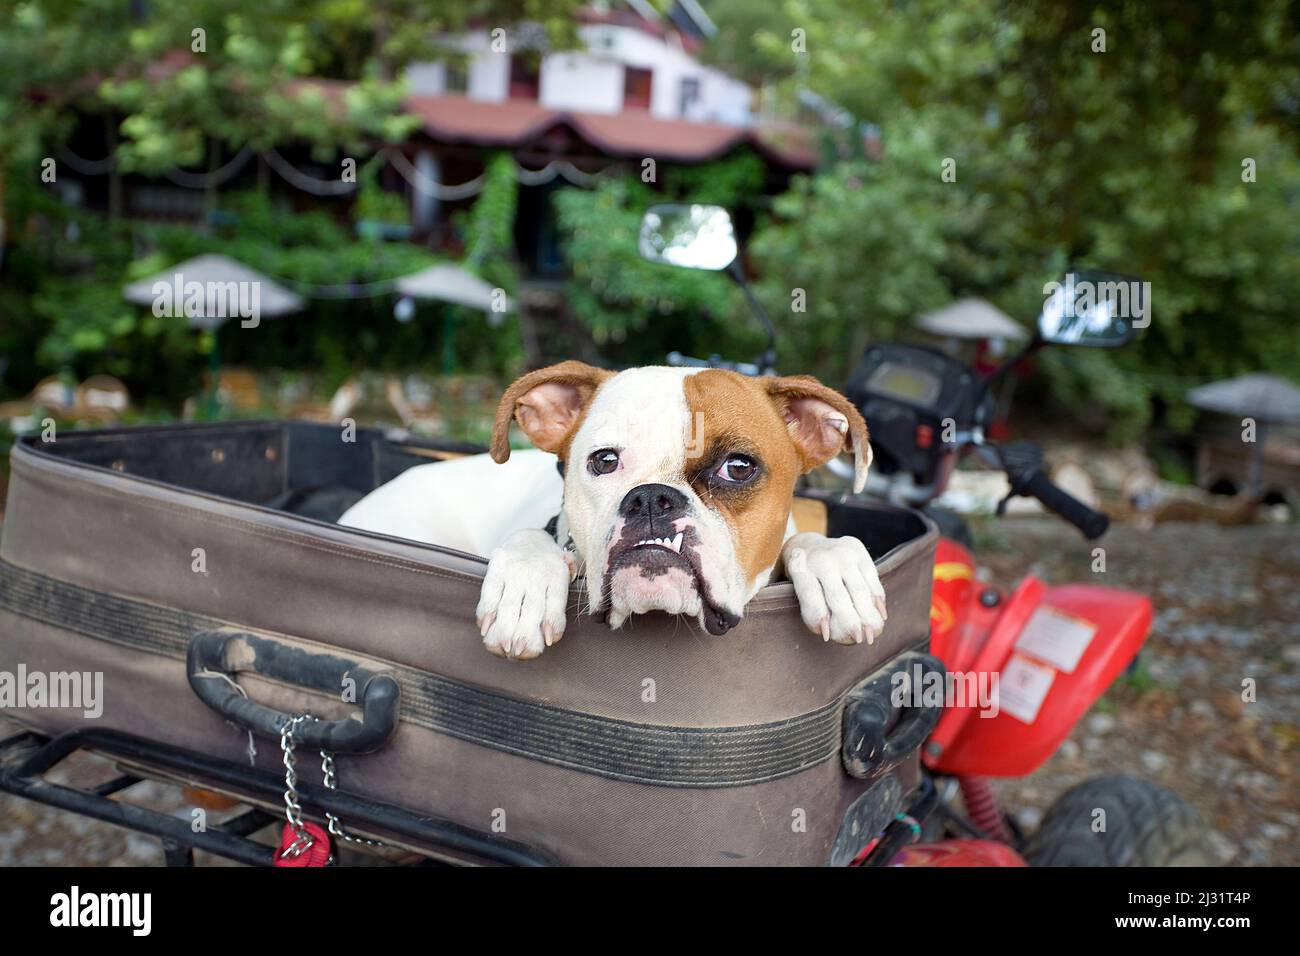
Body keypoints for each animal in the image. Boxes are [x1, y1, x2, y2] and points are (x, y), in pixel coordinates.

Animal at [338, 361, 883, 660]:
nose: (651, 498)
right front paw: (525, 587)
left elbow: (808, 540)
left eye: (739, 467)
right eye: (603, 460)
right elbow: (535, 540)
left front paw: (838, 571)